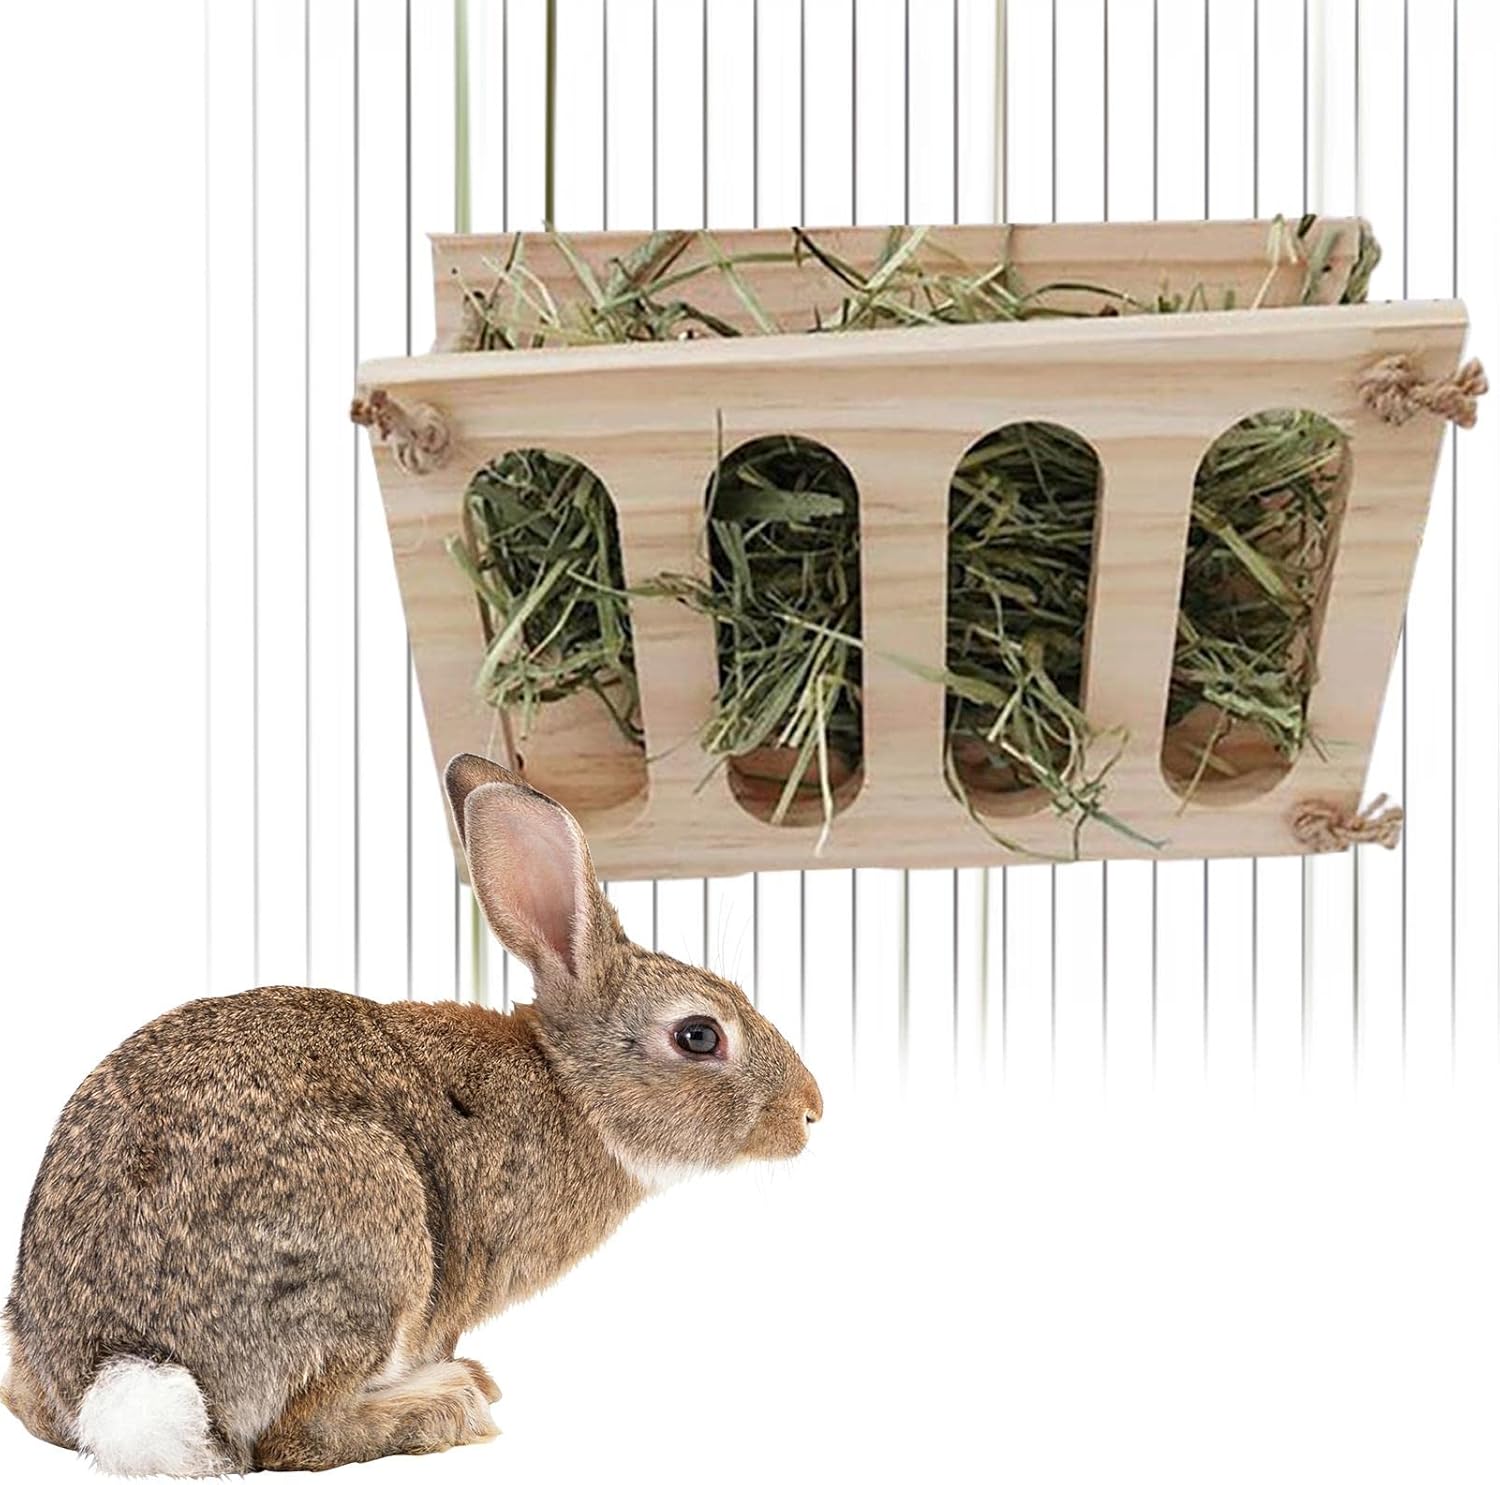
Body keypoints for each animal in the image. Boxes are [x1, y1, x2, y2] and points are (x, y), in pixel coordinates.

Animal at [1, 754, 822, 1475]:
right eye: (699, 1035)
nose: (811, 1110)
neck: (569, 1086)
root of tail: (120, 1371)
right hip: (375, 1238)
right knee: (295, 1437)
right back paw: (448, 1403)